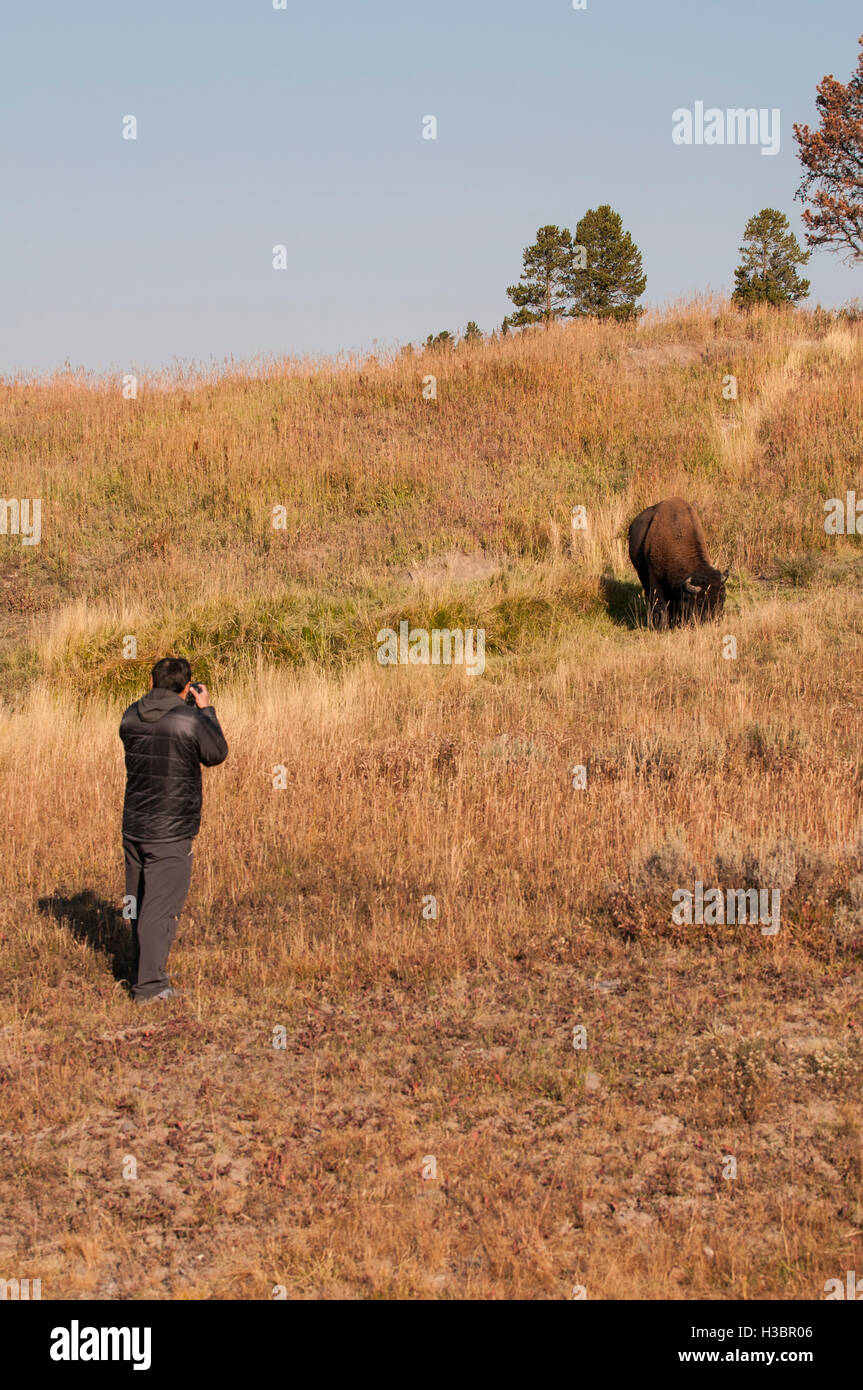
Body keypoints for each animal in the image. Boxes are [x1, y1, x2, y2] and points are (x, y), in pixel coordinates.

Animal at [628, 498, 727, 630]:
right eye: (700, 602)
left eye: (723, 598)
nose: (715, 621)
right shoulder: (655, 579)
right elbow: (660, 604)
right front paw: (662, 627)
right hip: (642, 574)